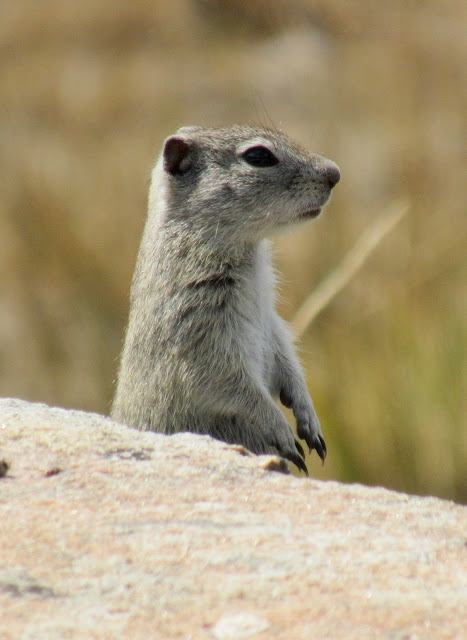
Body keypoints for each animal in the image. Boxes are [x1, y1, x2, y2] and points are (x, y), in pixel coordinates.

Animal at [111, 125, 340, 473]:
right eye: (258, 156)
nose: (335, 173)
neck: (249, 253)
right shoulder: (201, 335)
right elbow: (237, 389)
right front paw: (284, 433)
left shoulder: (270, 320)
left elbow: (287, 358)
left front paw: (309, 417)